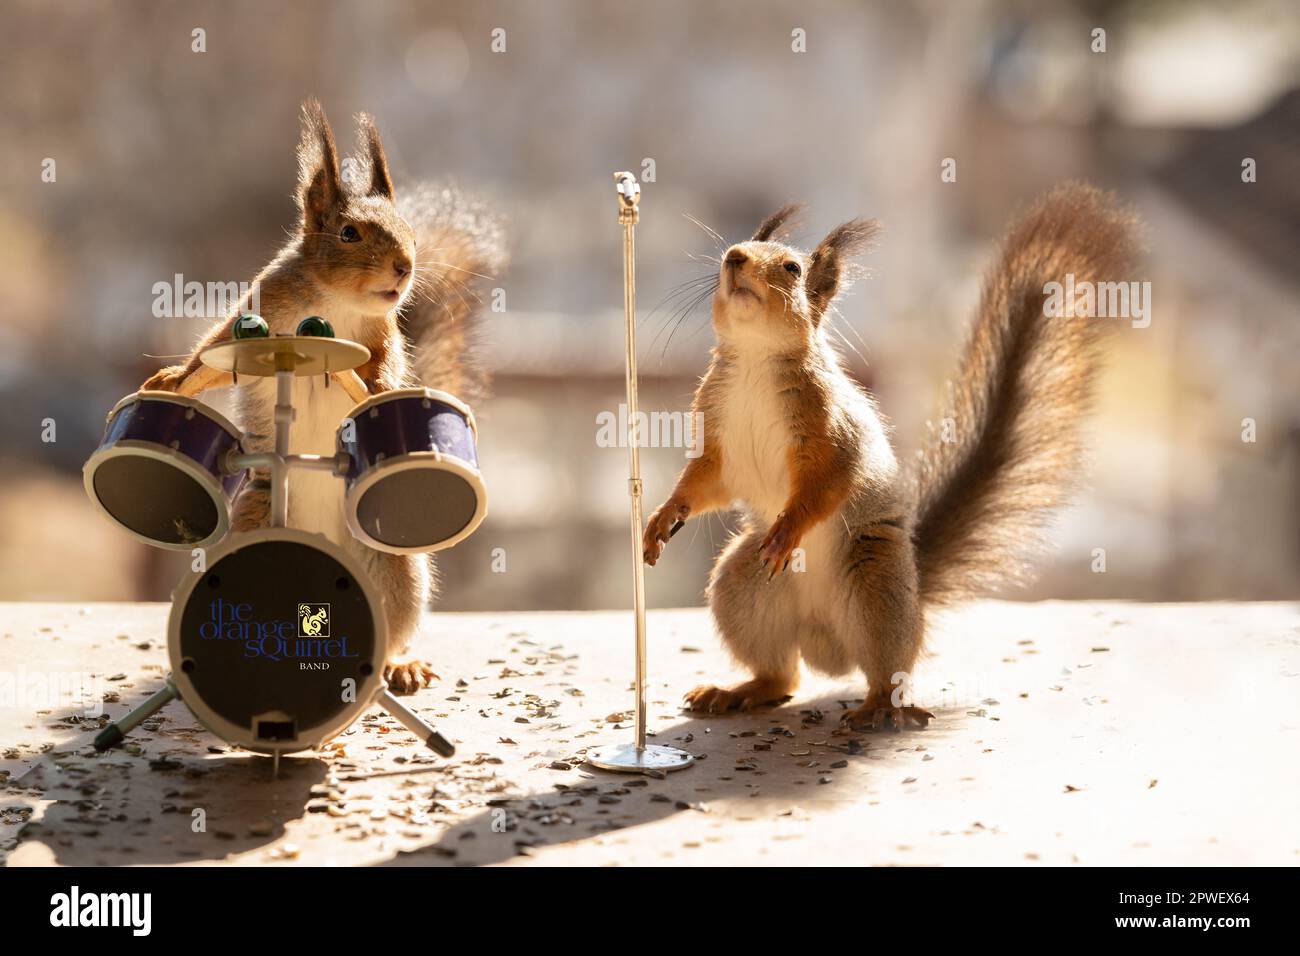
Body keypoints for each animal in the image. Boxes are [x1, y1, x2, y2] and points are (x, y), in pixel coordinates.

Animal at [142, 100, 505, 694]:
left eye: (409, 230)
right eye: (349, 232)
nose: (405, 267)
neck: (333, 303)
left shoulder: (380, 336)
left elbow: (384, 370)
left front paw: (379, 391)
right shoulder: (258, 314)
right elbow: (212, 351)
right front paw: (176, 379)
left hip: (393, 568)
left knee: (389, 629)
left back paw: (398, 664)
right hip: (253, 524)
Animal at [643, 183, 1138, 730]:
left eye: (791, 268)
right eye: (736, 248)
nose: (733, 258)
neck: (755, 359)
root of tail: (826, 642)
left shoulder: (830, 431)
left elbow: (826, 484)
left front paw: (788, 530)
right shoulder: (717, 434)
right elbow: (704, 481)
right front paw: (661, 519)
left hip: (874, 586)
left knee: (886, 670)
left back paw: (879, 707)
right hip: (742, 588)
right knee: (783, 675)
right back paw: (737, 690)